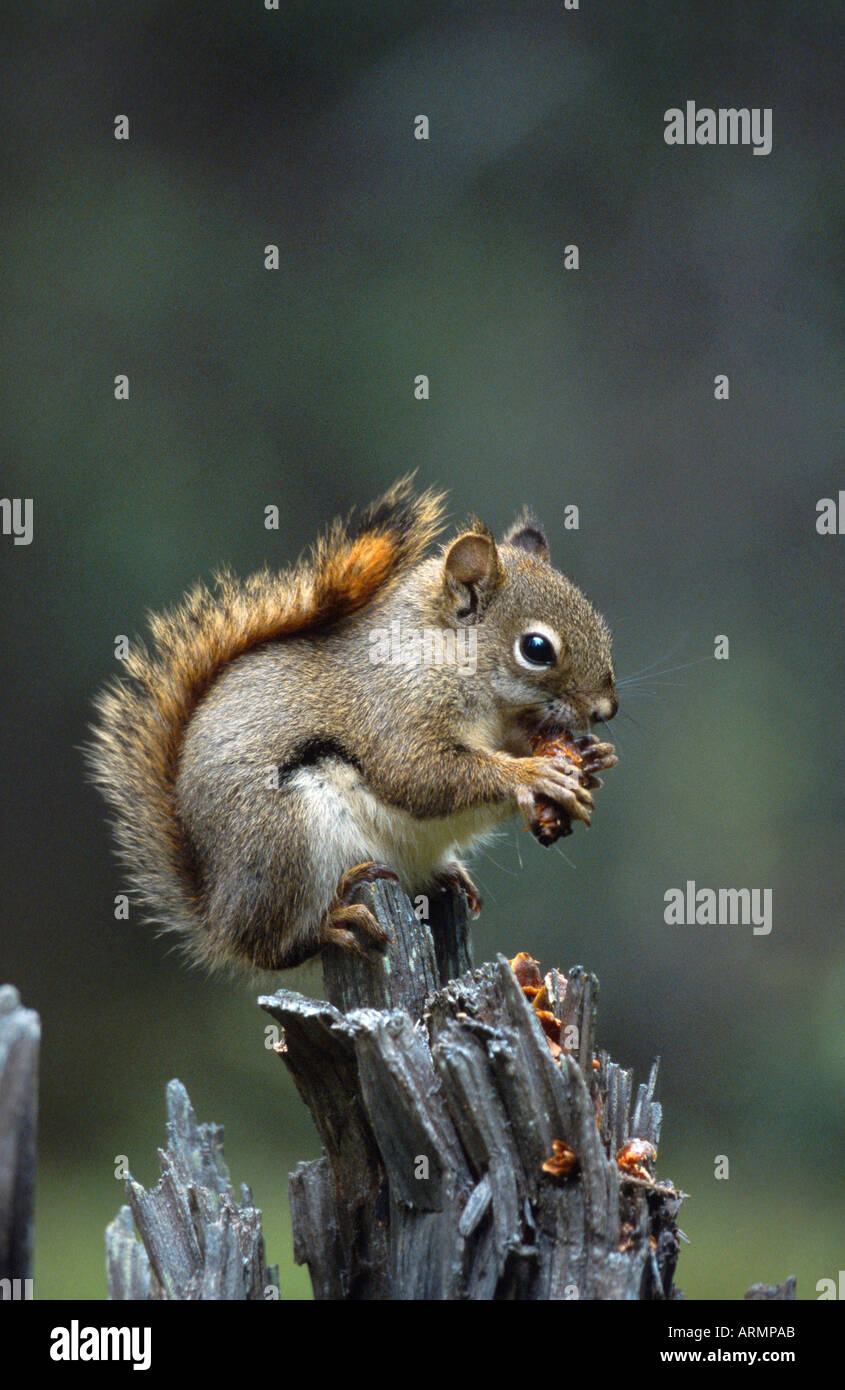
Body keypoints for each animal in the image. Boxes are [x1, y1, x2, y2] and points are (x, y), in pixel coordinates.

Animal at [88, 477, 619, 972]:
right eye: (536, 648)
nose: (605, 711)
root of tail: (217, 913)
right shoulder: (392, 710)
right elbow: (421, 775)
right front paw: (534, 773)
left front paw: (592, 759)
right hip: (286, 840)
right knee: (275, 948)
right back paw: (333, 921)